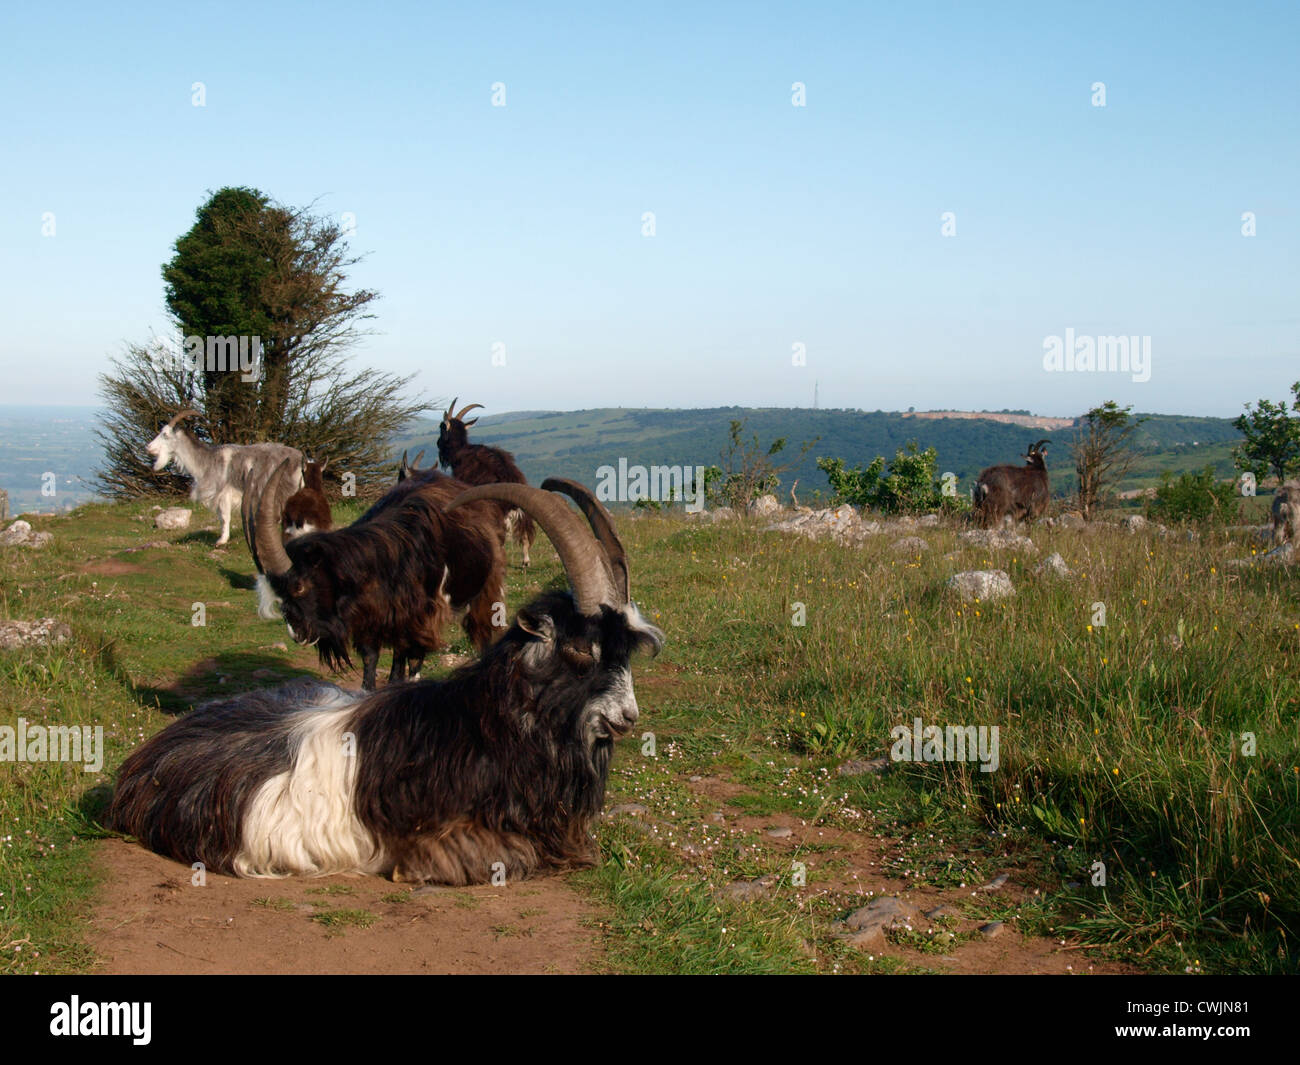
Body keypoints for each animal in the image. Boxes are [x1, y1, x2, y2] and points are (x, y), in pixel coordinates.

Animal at [109, 481, 662, 886]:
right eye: (582, 651)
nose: (628, 717)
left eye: (625, 653)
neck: (492, 723)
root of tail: (140, 766)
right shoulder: (455, 840)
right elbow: (516, 855)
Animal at [146, 409, 303, 547]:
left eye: (165, 434)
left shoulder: (224, 494)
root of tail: (302, 460)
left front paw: (221, 541)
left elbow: (225, 517)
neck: (208, 460)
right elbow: (222, 519)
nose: (148, 447)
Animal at [246, 457, 506, 690]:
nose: (297, 633)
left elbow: (411, 660)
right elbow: (371, 660)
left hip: (486, 590)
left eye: (299, 586)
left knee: (480, 631)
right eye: (278, 591)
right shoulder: (372, 619)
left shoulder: (420, 617)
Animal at [437, 398, 536, 567]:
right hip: (524, 512)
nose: (438, 443)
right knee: (524, 534)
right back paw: (526, 561)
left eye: (442, 427)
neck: (461, 450)